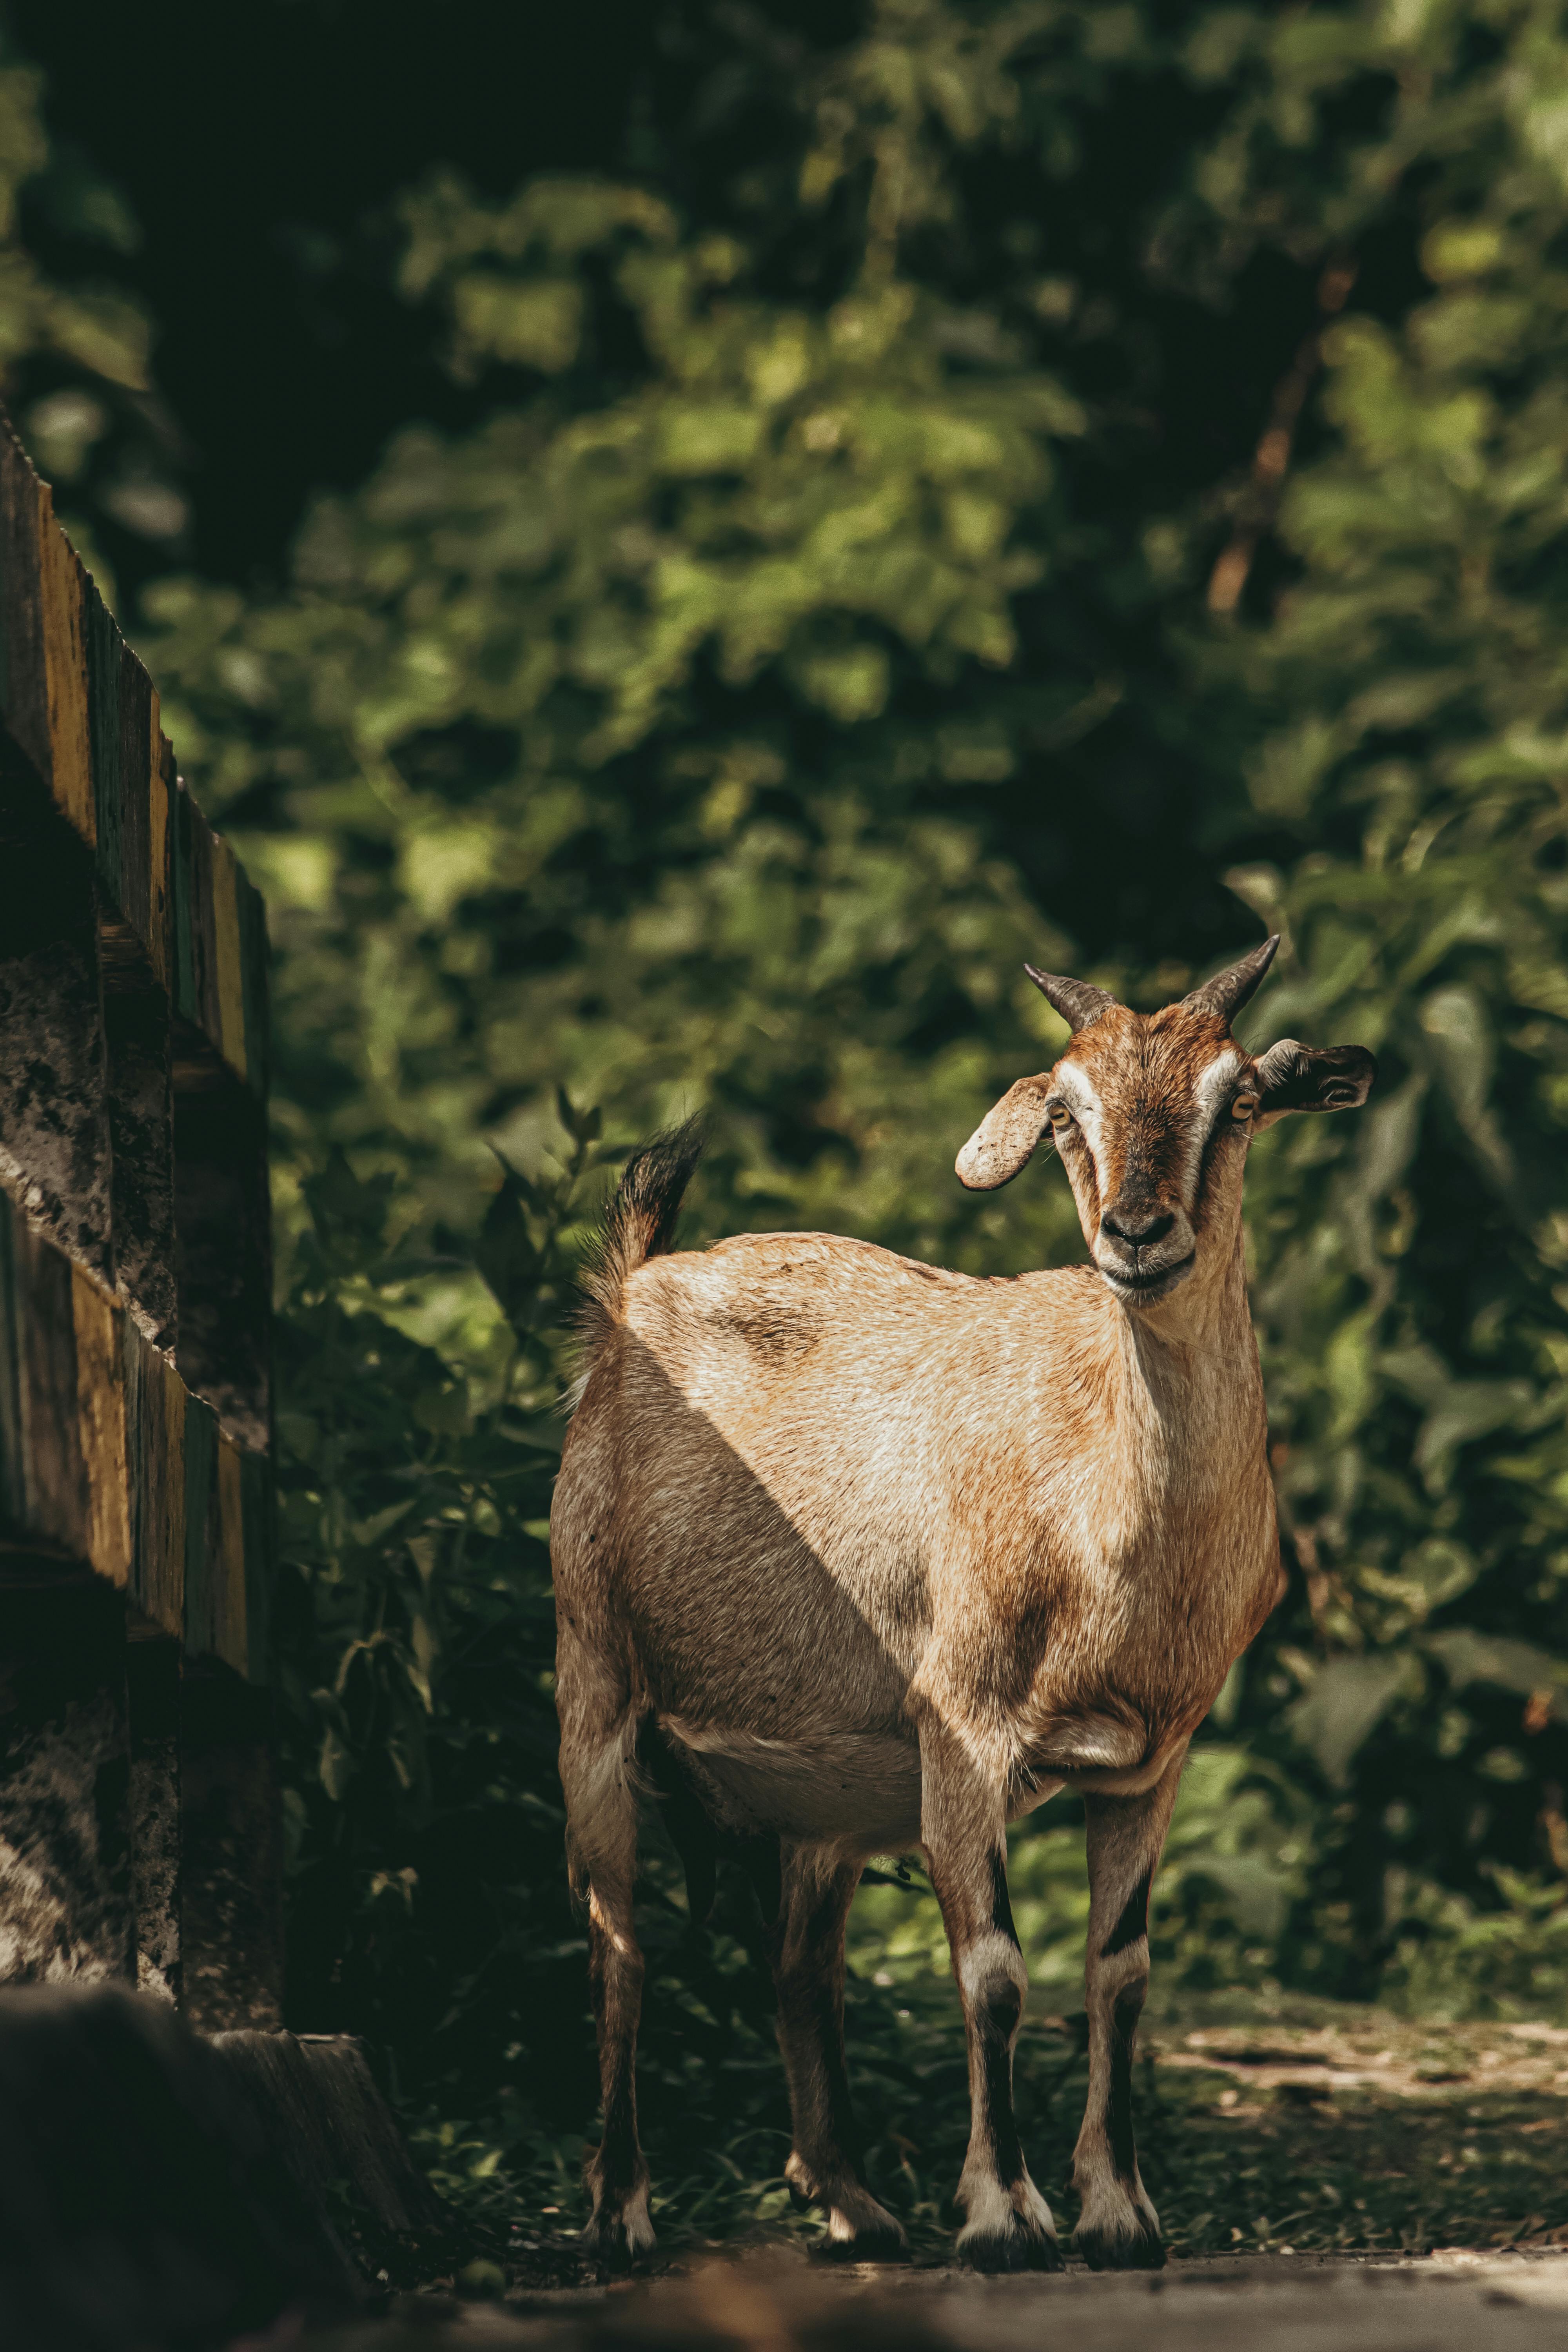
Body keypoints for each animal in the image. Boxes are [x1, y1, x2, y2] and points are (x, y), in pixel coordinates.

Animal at [552, 935, 1375, 2270]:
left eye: (1241, 1098)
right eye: (1065, 1111)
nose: (1137, 1234)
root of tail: (630, 1290)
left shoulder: (1153, 1758)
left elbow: (1120, 1971)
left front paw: (1120, 2213)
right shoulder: (963, 1725)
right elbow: (992, 1969)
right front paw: (1002, 2215)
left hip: (819, 1799)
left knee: (799, 1965)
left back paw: (853, 2203)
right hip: (594, 1680)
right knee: (617, 1933)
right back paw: (621, 2210)